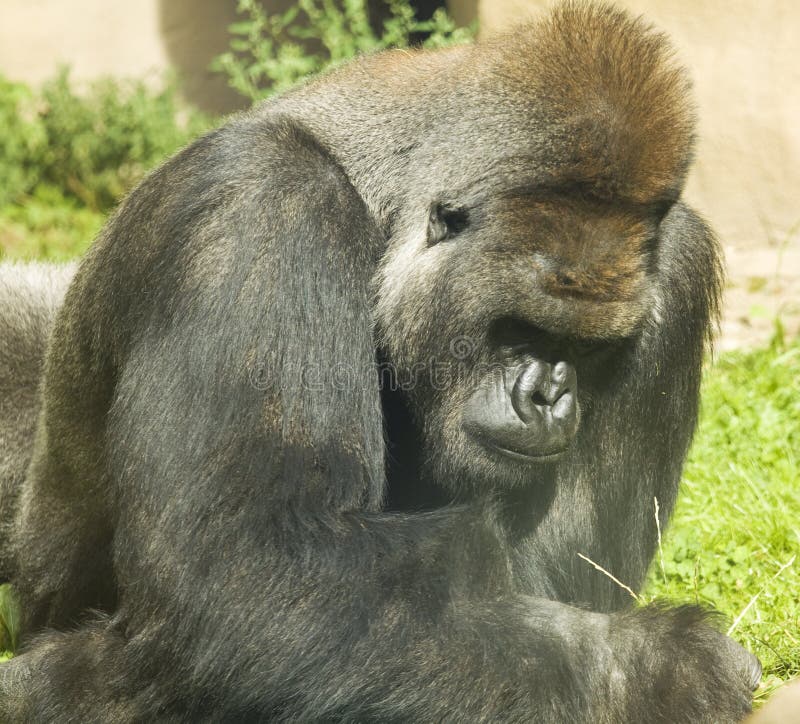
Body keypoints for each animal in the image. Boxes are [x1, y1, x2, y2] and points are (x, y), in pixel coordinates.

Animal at [0, 3, 760, 721]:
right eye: (518, 327)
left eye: (587, 348)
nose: (548, 398)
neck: (381, 194)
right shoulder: (264, 202)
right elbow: (245, 568)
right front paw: (660, 669)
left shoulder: (676, 266)